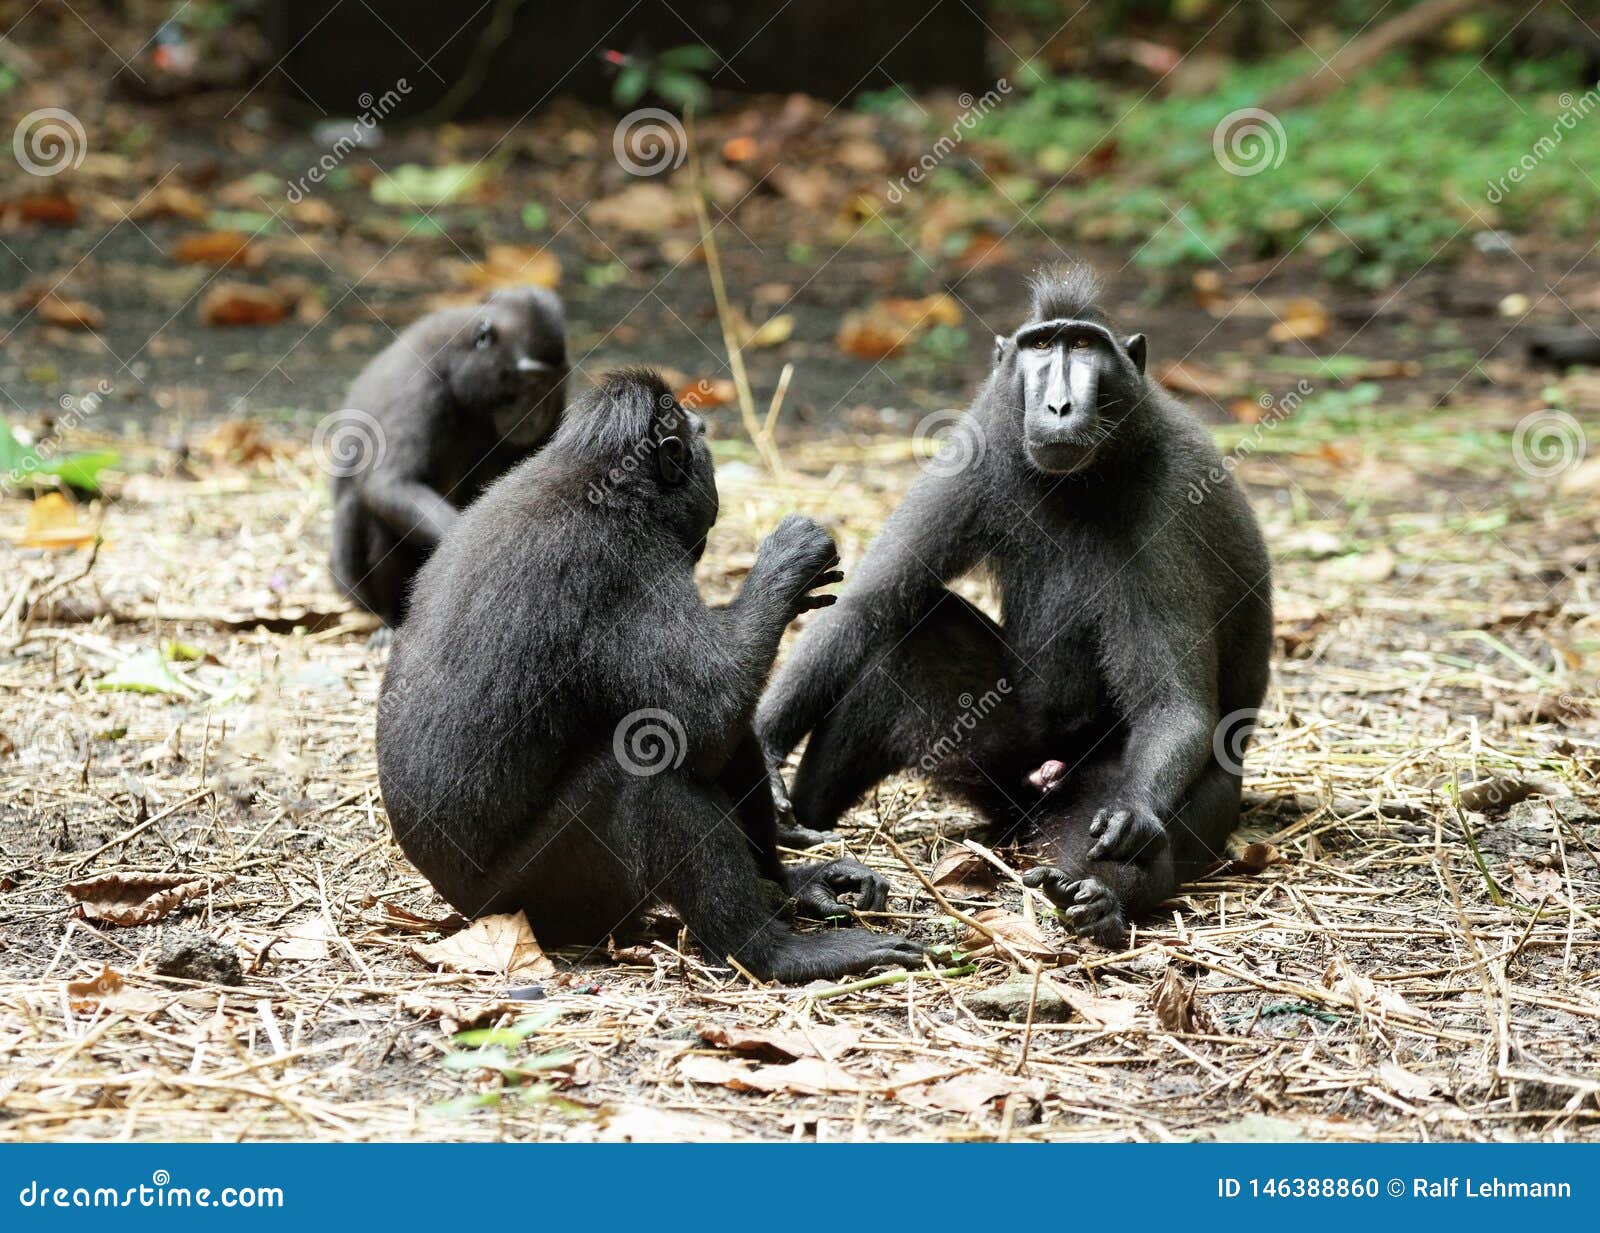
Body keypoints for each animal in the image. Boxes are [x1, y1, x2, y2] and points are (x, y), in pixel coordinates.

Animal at [330, 286, 568, 636]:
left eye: (550, 388)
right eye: (529, 384)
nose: (538, 413)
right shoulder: (420, 385)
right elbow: (390, 483)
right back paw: (391, 621)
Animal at [377, 369, 925, 983]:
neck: (603, 486)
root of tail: (463, 908)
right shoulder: (625, 566)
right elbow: (707, 717)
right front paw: (786, 569)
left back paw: (791, 886)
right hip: (537, 896)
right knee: (648, 765)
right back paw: (768, 952)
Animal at [756, 263, 1272, 946]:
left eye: (1084, 346)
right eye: (1040, 347)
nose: (1058, 405)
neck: (1081, 479)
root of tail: (1035, 787)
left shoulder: (1172, 498)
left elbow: (1174, 706)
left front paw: (1129, 823)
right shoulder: (977, 446)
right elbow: (867, 607)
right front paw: (762, 752)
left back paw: (1098, 899)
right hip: (1003, 757)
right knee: (900, 642)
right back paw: (800, 839)